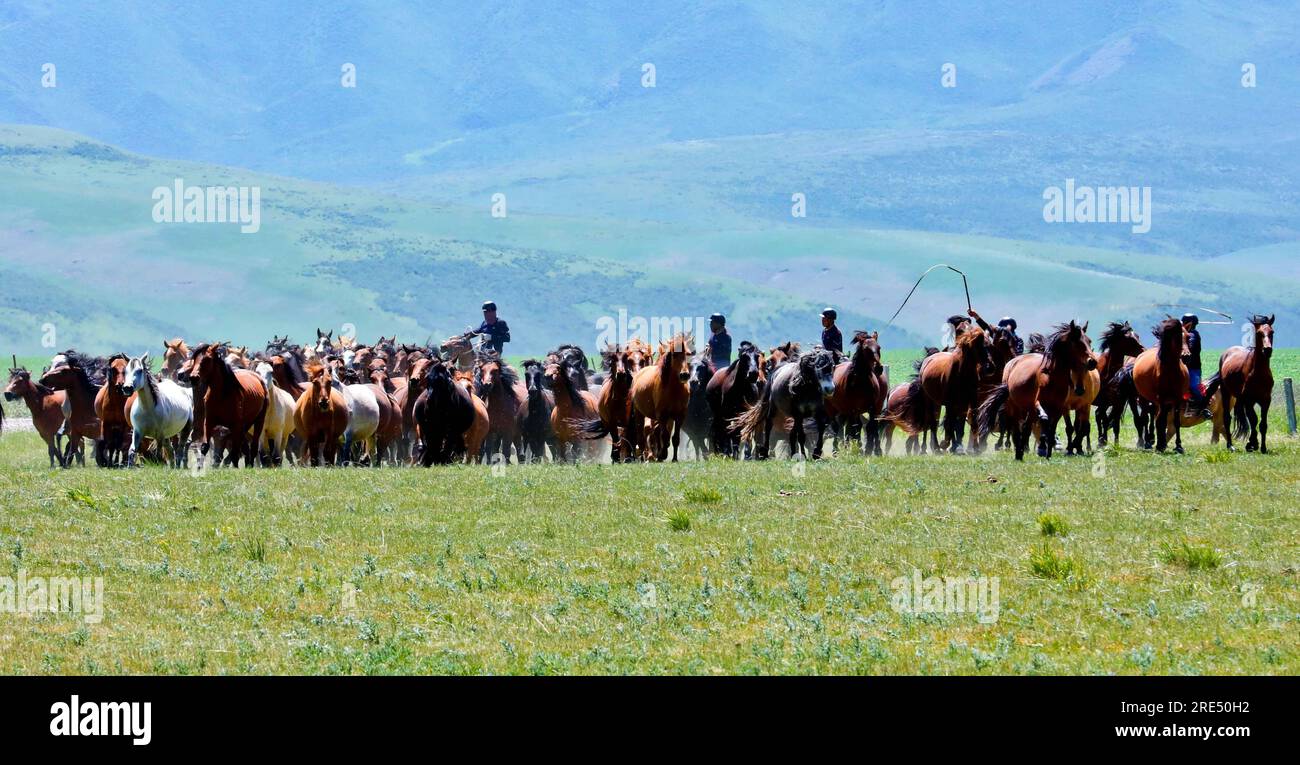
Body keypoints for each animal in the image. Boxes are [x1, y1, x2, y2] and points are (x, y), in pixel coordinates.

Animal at [630, 333, 694, 461]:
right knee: (641, 437)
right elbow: (664, 436)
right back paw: (642, 458)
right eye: (674, 355)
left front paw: (674, 459)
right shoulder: (663, 415)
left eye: (688, 354)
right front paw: (662, 454)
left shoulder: (679, 416)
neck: (674, 391)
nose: (684, 375)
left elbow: (675, 438)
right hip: (639, 414)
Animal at [977, 321, 1097, 460]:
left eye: (1089, 341)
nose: (1093, 362)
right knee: (1015, 426)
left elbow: (1051, 427)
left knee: (1026, 426)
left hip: (1028, 408)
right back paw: (1018, 452)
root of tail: (1012, 362)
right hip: (1014, 405)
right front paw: (1042, 448)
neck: (1053, 376)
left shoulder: (1059, 407)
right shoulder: (1038, 402)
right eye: (1076, 342)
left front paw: (1048, 451)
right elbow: (1044, 419)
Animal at [1132, 318, 1190, 453]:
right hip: (1144, 398)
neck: (1171, 371)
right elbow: (1161, 421)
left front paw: (1178, 446)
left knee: (1155, 415)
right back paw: (1149, 441)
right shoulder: (1162, 399)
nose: (1186, 356)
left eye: (1188, 337)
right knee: (1146, 417)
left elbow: (1176, 421)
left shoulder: (1177, 399)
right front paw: (1159, 445)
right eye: (1176, 337)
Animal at [1206, 314, 1275, 453]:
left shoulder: (1265, 400)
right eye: (1259, 333)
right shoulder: (1248, 400)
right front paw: (1252, 444)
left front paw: (1262, 447)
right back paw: (1230, 446)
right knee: (1227, 418)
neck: (1258, 373)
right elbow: (1254, 420)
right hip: (1227, 393)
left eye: (1272, 332)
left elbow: (1262, 424)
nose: (1267, 350)